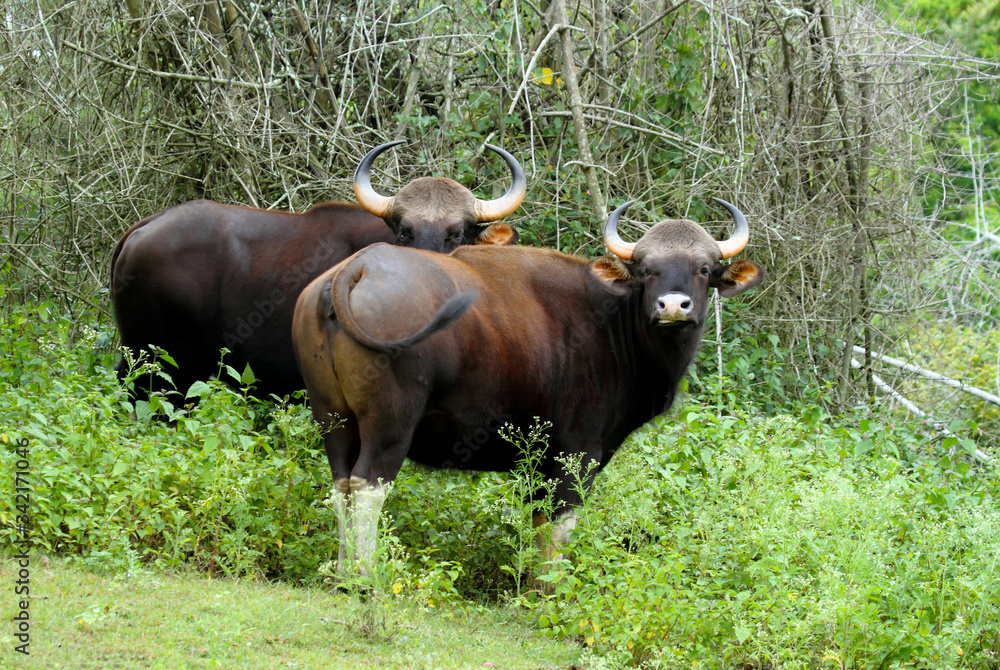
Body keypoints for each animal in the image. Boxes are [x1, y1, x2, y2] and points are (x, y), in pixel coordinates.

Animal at [292, 198, 764, 575]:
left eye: (703, 269)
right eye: (648, 271)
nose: (672, 307)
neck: (615, 327)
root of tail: (356, 269)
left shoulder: (539, 463)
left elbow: (536, 525)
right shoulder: (577, 454)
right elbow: (557, 530)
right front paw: (548, 593)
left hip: (332, 417)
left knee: (341, 486)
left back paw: (341, 573)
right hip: (390, 421)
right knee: (368, 485)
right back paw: (365, 578)